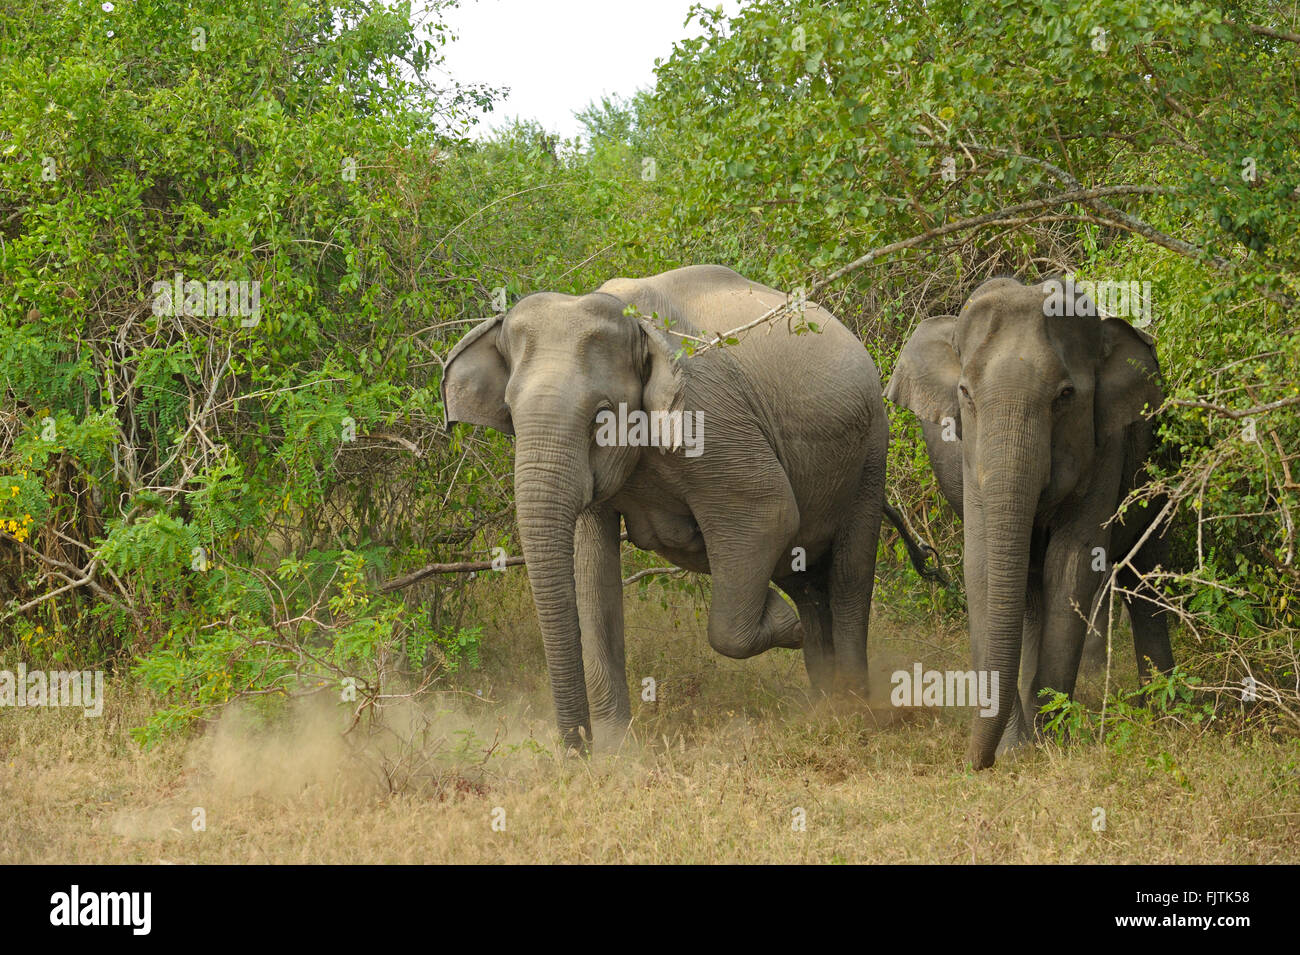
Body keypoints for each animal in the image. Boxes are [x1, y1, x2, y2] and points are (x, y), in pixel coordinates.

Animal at [442, 264, 938, 751]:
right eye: (509, 411)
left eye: (601, 416)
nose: (575, 750)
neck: (632, 321)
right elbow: (593, 572)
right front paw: (618, 756)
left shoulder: (710, 419)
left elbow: (770, 511)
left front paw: (782, 623)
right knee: (807, 581)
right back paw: (825, 700)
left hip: (871, 449)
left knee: (849, 574)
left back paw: (853, 711)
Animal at [884, 275, 1175, 769]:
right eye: (965, 393)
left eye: (1065, 397)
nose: (973, 765)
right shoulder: (970, 460)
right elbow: (983, 566)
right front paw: (1018, 749)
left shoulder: (1107, 447)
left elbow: (1073, 563)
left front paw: (1050, 740)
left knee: (1144, 574)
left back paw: (1166, 714)